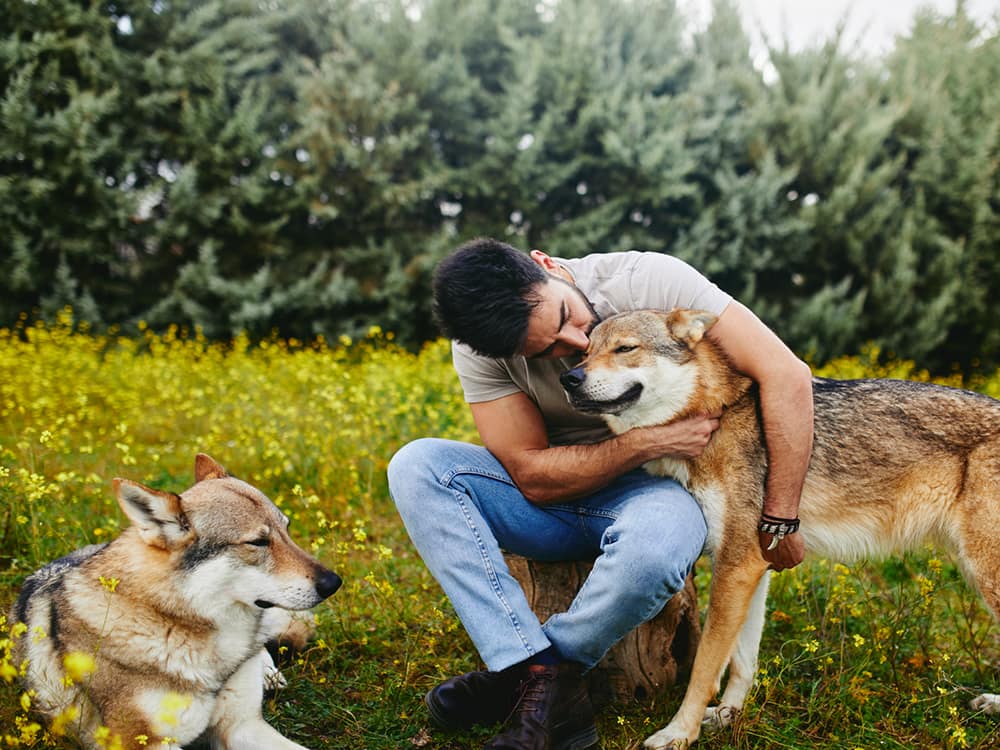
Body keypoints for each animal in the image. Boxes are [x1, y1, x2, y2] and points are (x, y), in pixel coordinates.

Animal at [560, 308, 1000, 749]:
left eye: (625, 348)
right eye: (586, 351)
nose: (570, 378)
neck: (718, 412)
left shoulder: (737, 564)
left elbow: (705, 667)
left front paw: (680, 732)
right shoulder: (755, 563)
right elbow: (743, 660)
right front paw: (729, 716)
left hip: (985, 572)